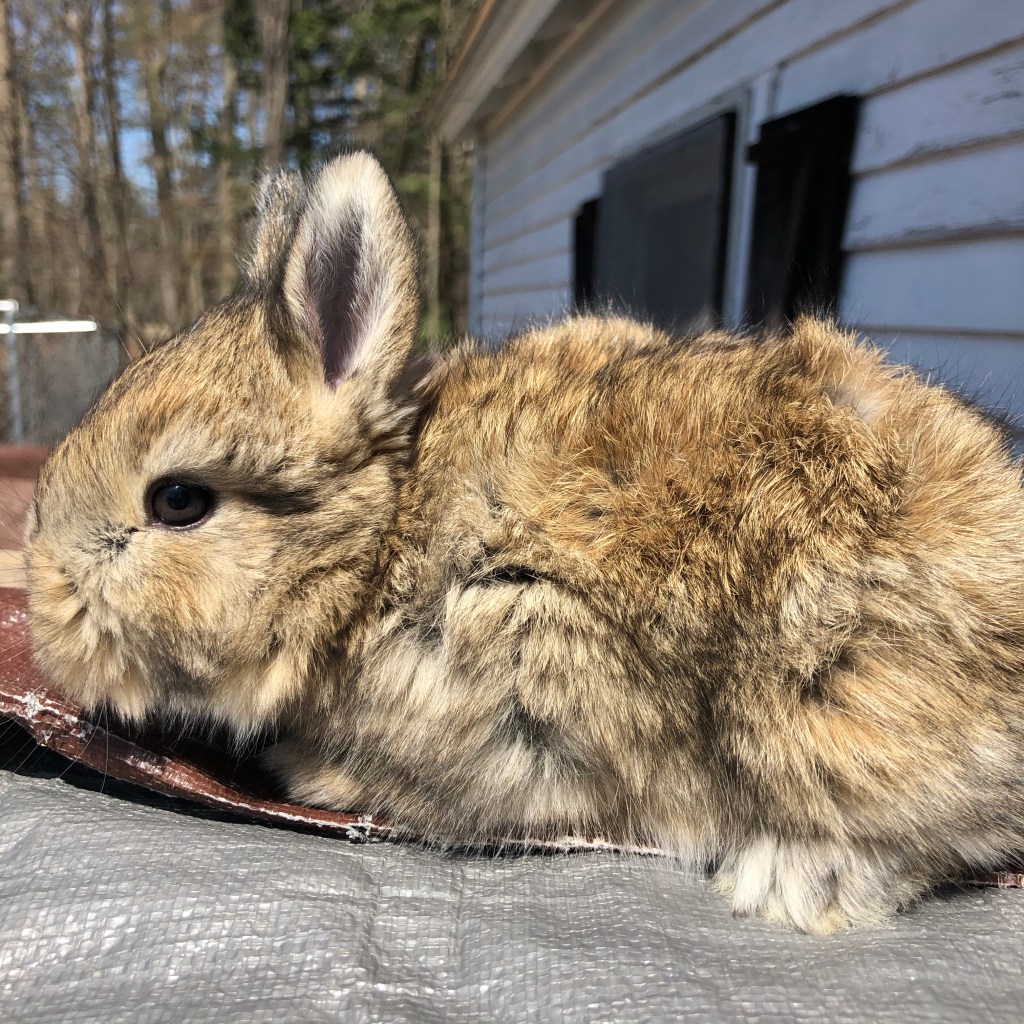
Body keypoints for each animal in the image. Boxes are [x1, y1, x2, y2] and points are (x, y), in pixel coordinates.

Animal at [25, 151, 1024, 934]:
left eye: (179, 501)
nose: (41, 620)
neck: (379, 547)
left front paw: (308, 774)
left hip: (836, 705)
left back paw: (787, 882)